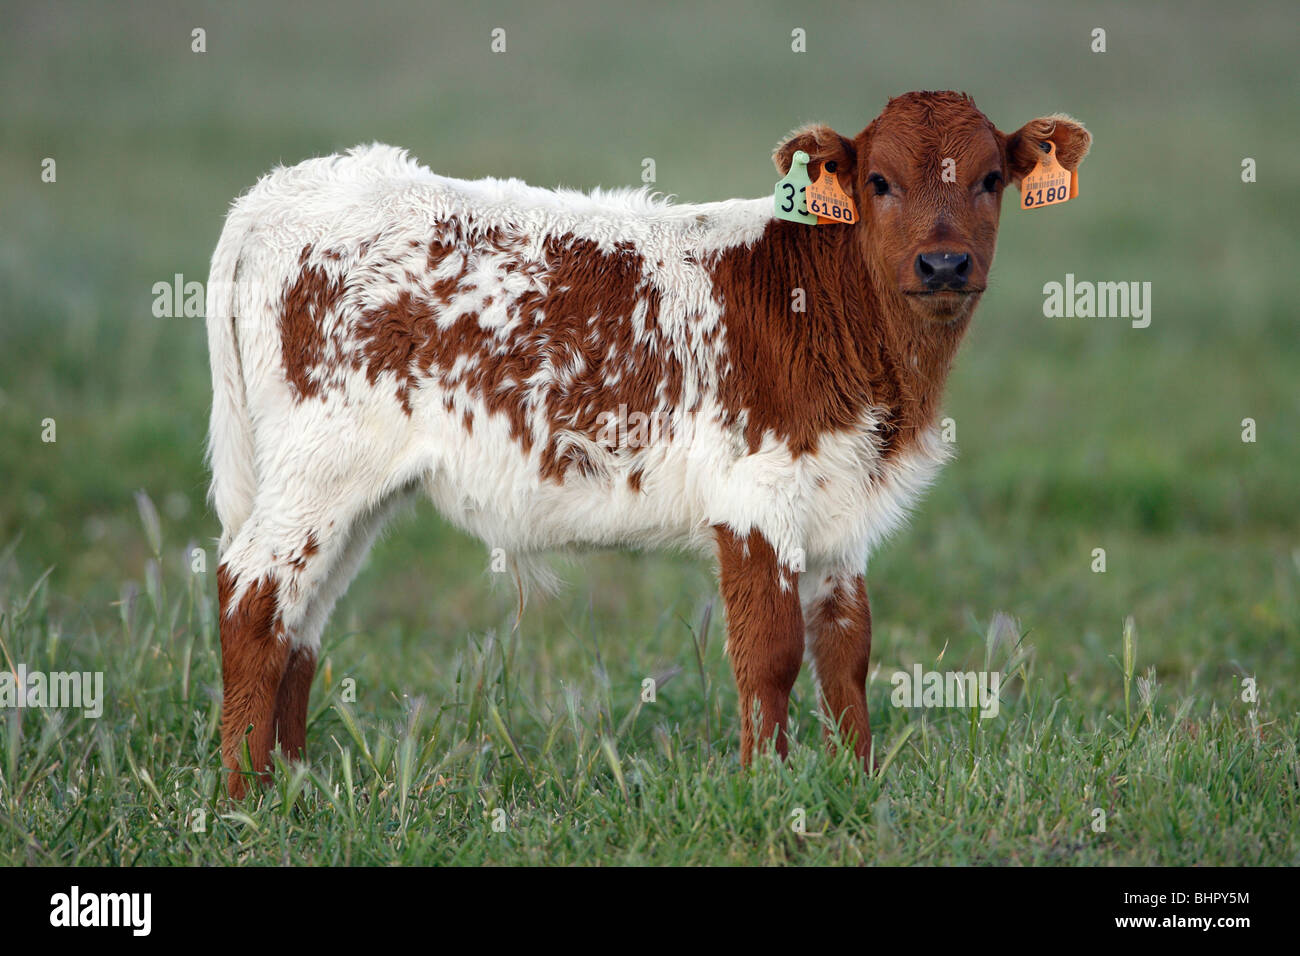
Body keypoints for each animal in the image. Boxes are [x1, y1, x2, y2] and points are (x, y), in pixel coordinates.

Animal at [206, 90, 1090, 797]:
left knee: (301, 622)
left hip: (353, 491)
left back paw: (295, 780)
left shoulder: (840, 510)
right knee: (253, 593)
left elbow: (846, 651)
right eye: (879, 181)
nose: (943, 265)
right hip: (320, 469)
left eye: (989, 180)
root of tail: (286, 189)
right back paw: (248, 795)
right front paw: (766, 789)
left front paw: (858, 784)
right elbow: (770, 654)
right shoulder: (755, 498)